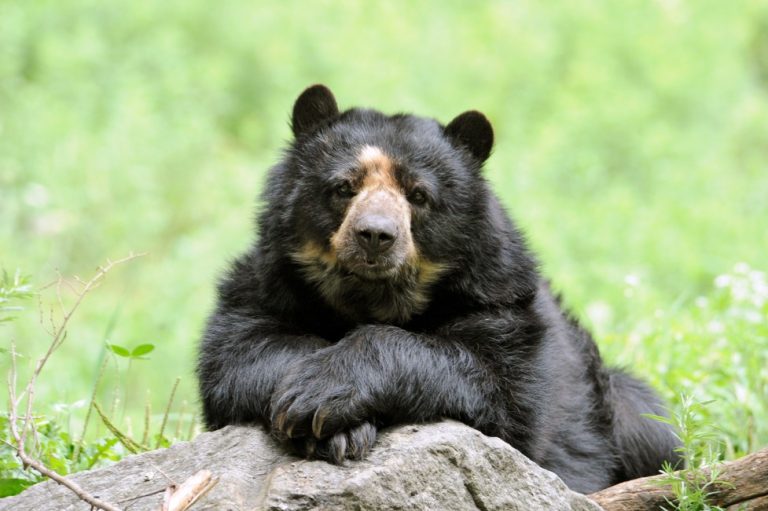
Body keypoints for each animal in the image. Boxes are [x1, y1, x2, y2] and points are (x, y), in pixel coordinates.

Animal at [197, 84, 680, 494]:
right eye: (344, 187)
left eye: (418, 195)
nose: (375, 235)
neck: (373, 299)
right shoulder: (265, 285)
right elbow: (239, 354)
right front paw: (325, 424)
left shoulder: (500, 302)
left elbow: (502, 392)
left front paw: (319, 398)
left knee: (651, 428)